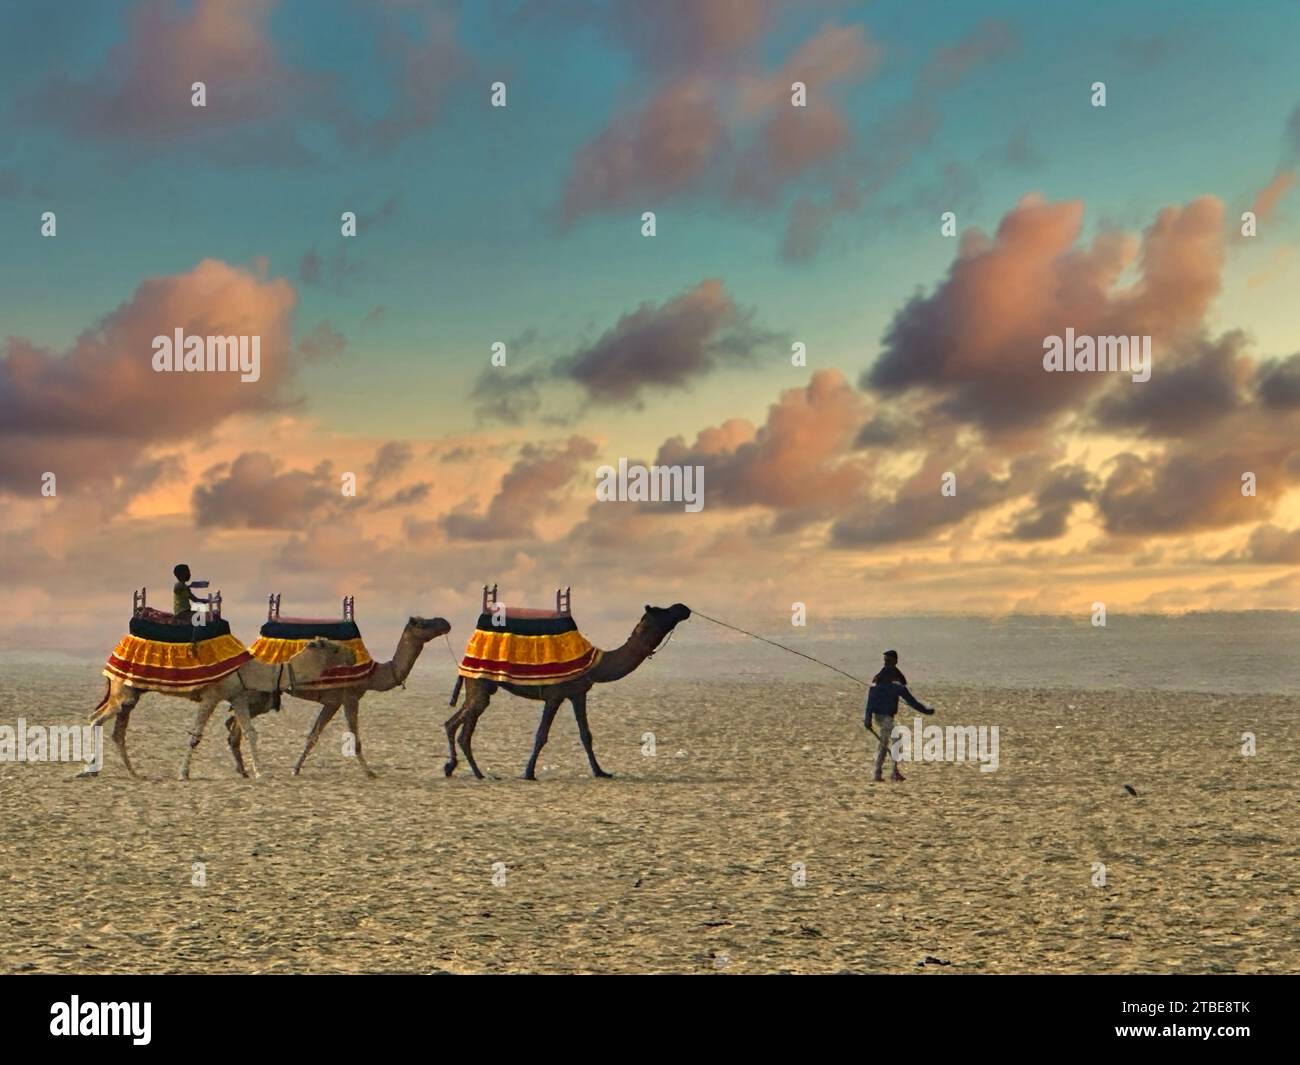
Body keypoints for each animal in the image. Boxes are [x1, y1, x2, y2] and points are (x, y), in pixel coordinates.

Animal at [83, 638, 356, 780]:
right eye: (334, 647)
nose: (353, 655)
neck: (252, 669)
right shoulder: (212, 695)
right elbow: (195, 736)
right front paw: (183, 773)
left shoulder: (237, 696)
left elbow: (250, 732)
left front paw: (259, 771)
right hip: (122, 690)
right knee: (95, 719)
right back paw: (89, 769)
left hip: (131, 693)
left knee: (117, 730)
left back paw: (134, 773)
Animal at [226, 616, 452, 778]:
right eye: (422, 623)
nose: (444, 622)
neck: (373, 673)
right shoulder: (350, 697)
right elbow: (355, 739)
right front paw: (370, 773)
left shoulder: (333, 702)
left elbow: (313, 735)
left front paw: (296, 768)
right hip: (259, 694)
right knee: (237, 722)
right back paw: (243, 768)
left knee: (233, 722)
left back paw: (241, 768)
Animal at [443, 603, 691, 781]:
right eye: (662, 611)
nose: (682, 607)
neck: (596, 663)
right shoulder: (555, 695)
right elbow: (541, 734)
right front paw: (529, 773)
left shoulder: (578, 692)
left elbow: (586, 735)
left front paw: (601, 772)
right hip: (480, 681)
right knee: (464, 723)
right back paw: (475, 773)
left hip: (480, 683)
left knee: (458, 725)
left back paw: (457, 768)